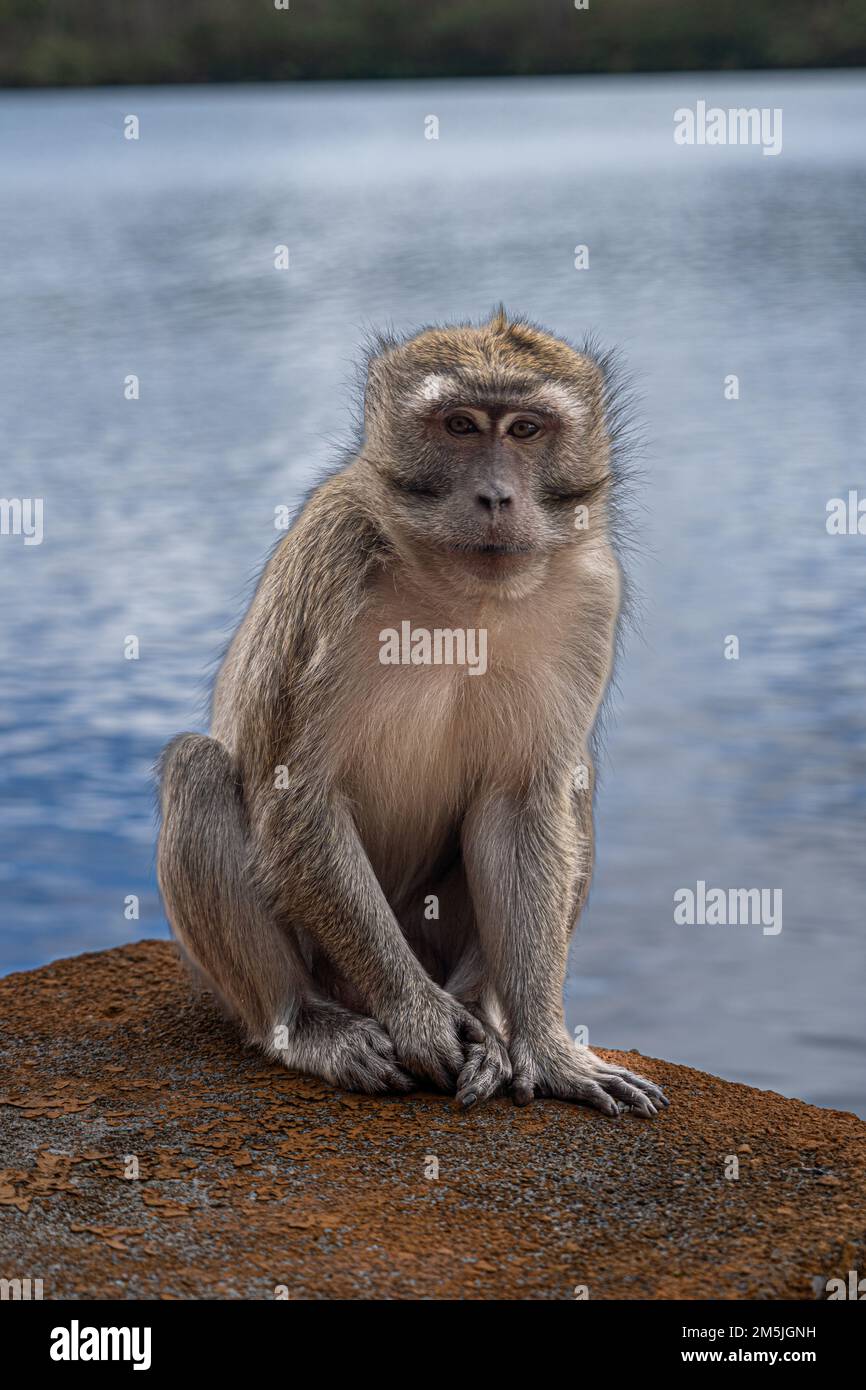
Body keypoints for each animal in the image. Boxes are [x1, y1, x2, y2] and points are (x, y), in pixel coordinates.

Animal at [156, 308, 668, 1118]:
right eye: (460, 425)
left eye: (525, 429)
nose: (496, 497)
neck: (463, 601)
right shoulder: (333, 564)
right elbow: (297, 797)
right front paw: (421, 1017)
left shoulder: (592, 591)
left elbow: (522, 800)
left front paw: (549, 1049)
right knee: (198, 768)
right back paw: (306, 1025)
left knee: (572, 781)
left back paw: (488, 1019)